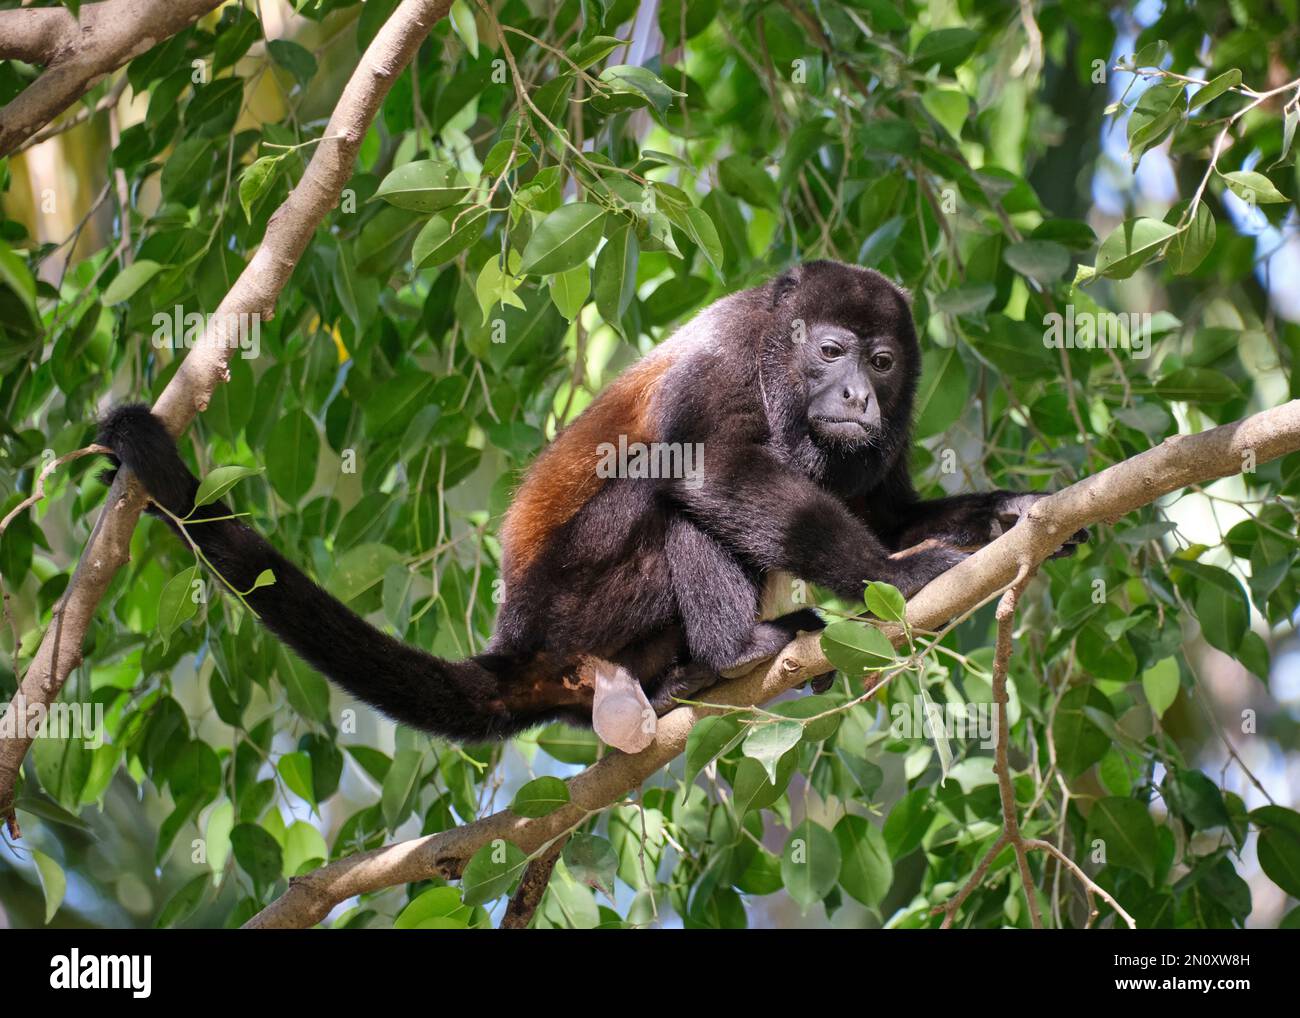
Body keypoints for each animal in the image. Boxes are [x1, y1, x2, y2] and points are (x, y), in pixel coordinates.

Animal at [98, 260, 1085, 754]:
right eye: (833, 351)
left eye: (882, 363)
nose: (857, 398)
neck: (778, 356)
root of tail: (517, 643)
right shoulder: (726, 361)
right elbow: (709, 471)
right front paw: (894, 576)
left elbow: (887, 510)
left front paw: (1014, 514)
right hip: (577, 604)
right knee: (666, 494)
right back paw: (737, 650)